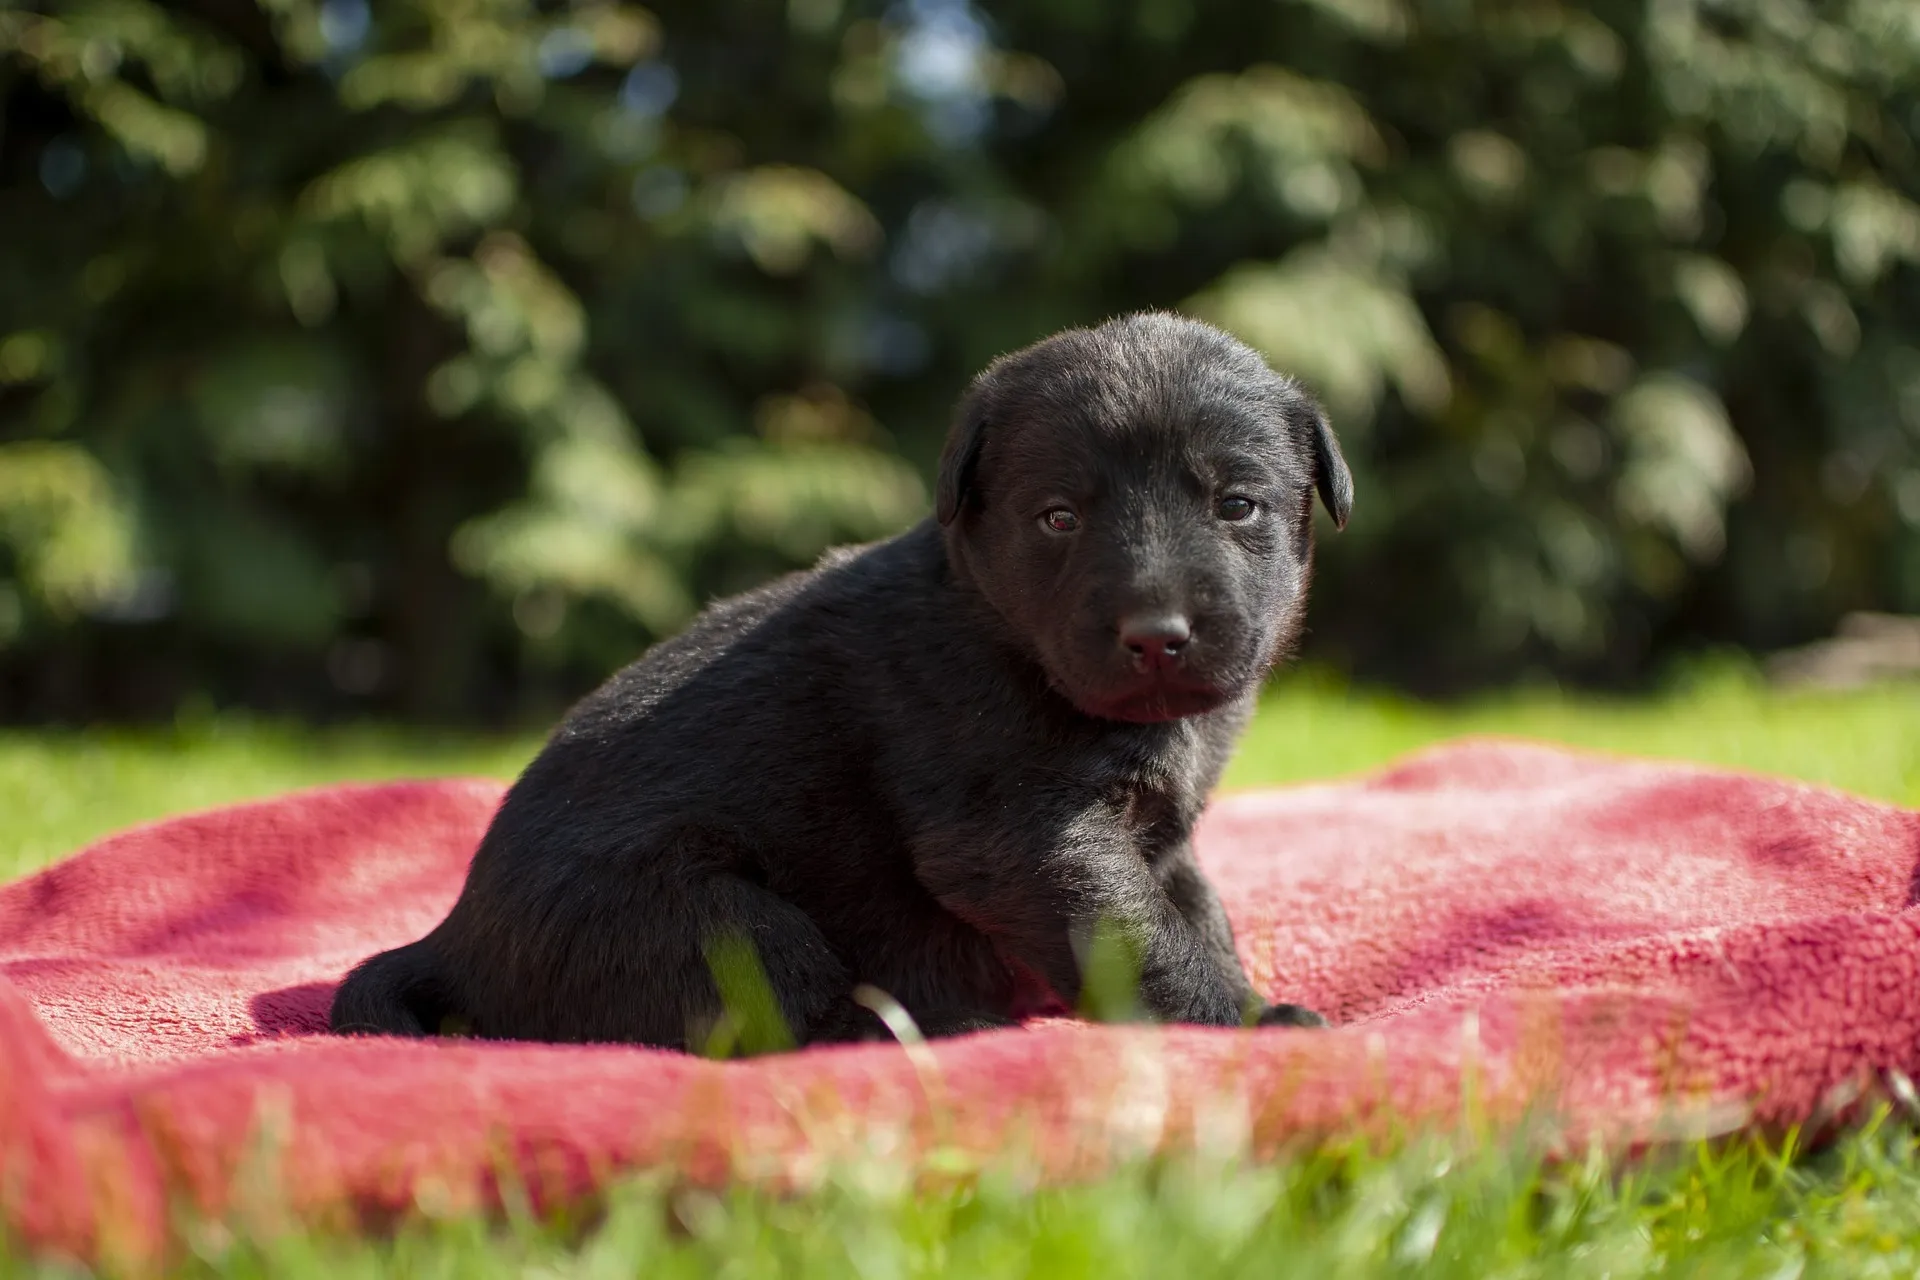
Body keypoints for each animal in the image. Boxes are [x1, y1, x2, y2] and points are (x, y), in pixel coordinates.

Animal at [330, 312, 1351, 1051]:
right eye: (1058, 517)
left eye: (1237, 505)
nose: (1156, 636)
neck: (1001, 632)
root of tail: (451, 941)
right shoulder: (1022, 833)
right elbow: (1141, 932)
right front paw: (1247, 1020)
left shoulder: (1160, 831)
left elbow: (1191, 907)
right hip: (709, 914)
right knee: (777, 1012)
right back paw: (932, 1025)